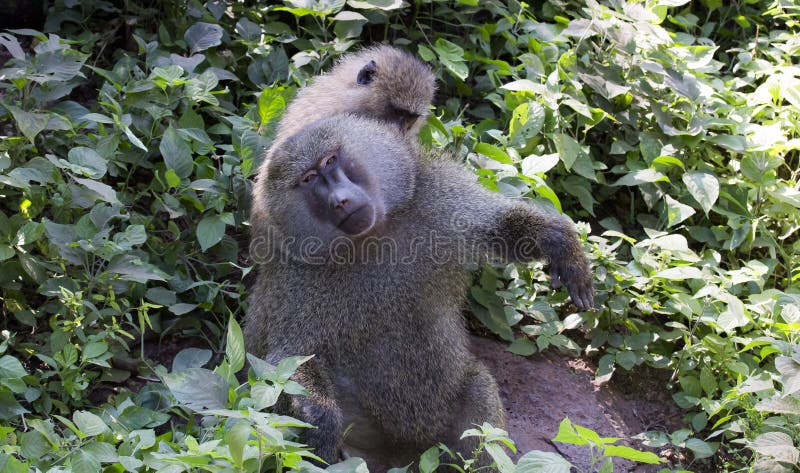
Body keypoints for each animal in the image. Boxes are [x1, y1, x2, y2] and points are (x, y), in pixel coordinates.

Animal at [244, 114, 594, 469]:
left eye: (330, 160)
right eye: (308, 178)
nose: (339, 201)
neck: (372, 237)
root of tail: (409, 458)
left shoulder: (439, 195)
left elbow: (500, 229)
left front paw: (560, 243)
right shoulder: (296, 280)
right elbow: (284, 361)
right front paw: (321, 421)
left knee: (478, 393)